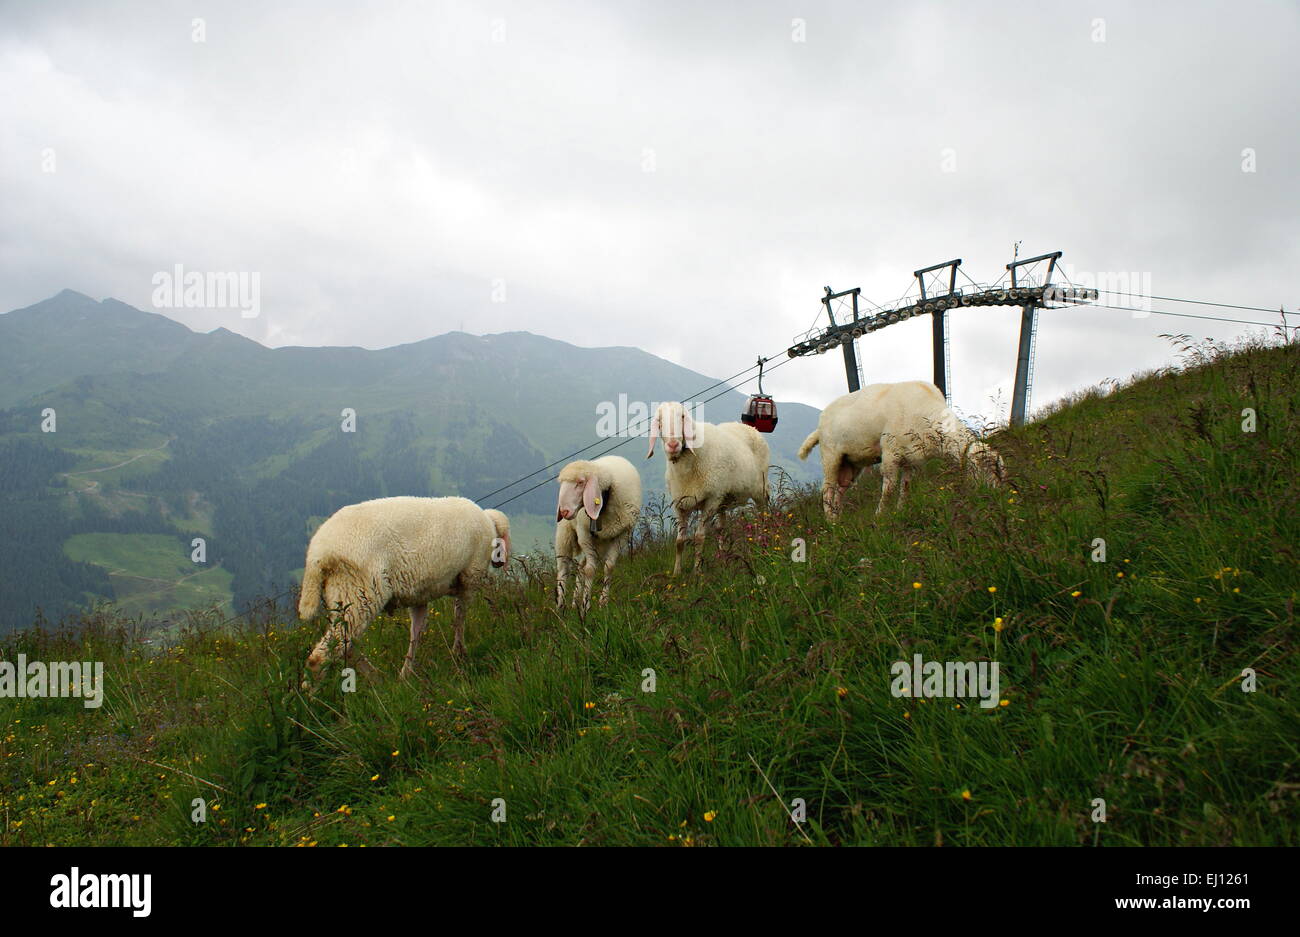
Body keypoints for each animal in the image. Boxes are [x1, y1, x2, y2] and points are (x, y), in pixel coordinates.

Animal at [297, 496, 510, 685]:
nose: (500, 563)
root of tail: (316, 556)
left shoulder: (420, 596)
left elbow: (416, 632)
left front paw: (407, 673)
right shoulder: (469, 579)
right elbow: (459, 618)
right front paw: (459, 652)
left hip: (342, 596)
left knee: (346, 645)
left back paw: (377, 679)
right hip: (359, 593)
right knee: (324, 654)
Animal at [554, 455, 643, 613]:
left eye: (580, 482)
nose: (564, 511)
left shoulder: (622, 533)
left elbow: (609, 566)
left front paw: (603, 603)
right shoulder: (584, 534)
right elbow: (590, 570)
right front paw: (585, 606)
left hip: (600, 541)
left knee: (580, 567)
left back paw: (574, 602)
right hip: (565, 535)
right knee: (563, 570)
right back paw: (560, 606)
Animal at [646, 401, 770, 575]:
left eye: (682, 416)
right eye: (659, 420)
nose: (673, 444)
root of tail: (750, 428)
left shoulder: (711, 501)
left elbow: (699, 538)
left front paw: (697, 572)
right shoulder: (679, 503)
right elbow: (679, 541)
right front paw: (676, 573)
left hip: (759, 490)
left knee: (762, 517)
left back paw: (763, 545)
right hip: (723, 499)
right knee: (721, 528)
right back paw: (724, 558)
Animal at [798, 380, 1005, 520]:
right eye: (983, 467)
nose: (994, 495)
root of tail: (819, 426)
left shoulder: (911, 457)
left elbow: (905, 487)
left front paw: (900, 510)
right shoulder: (891, 453)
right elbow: (889, 489)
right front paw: (880, 516)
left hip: (851, 464)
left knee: (840, 490)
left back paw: (838, 517)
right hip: (831, 456)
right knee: (827, 490)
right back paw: (830, 521)